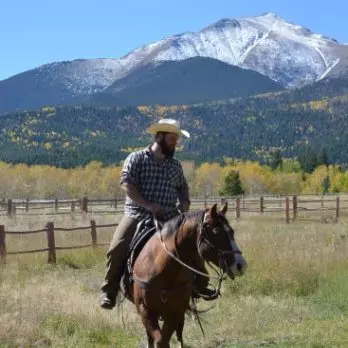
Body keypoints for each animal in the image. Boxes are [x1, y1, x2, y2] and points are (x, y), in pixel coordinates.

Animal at [123, 203, 246, 346]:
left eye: (231, 231)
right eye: (216, 232)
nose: (241, 265)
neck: (162, 271)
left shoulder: (175, 313)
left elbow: (164, 340)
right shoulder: (145, 311)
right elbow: (158, 339)